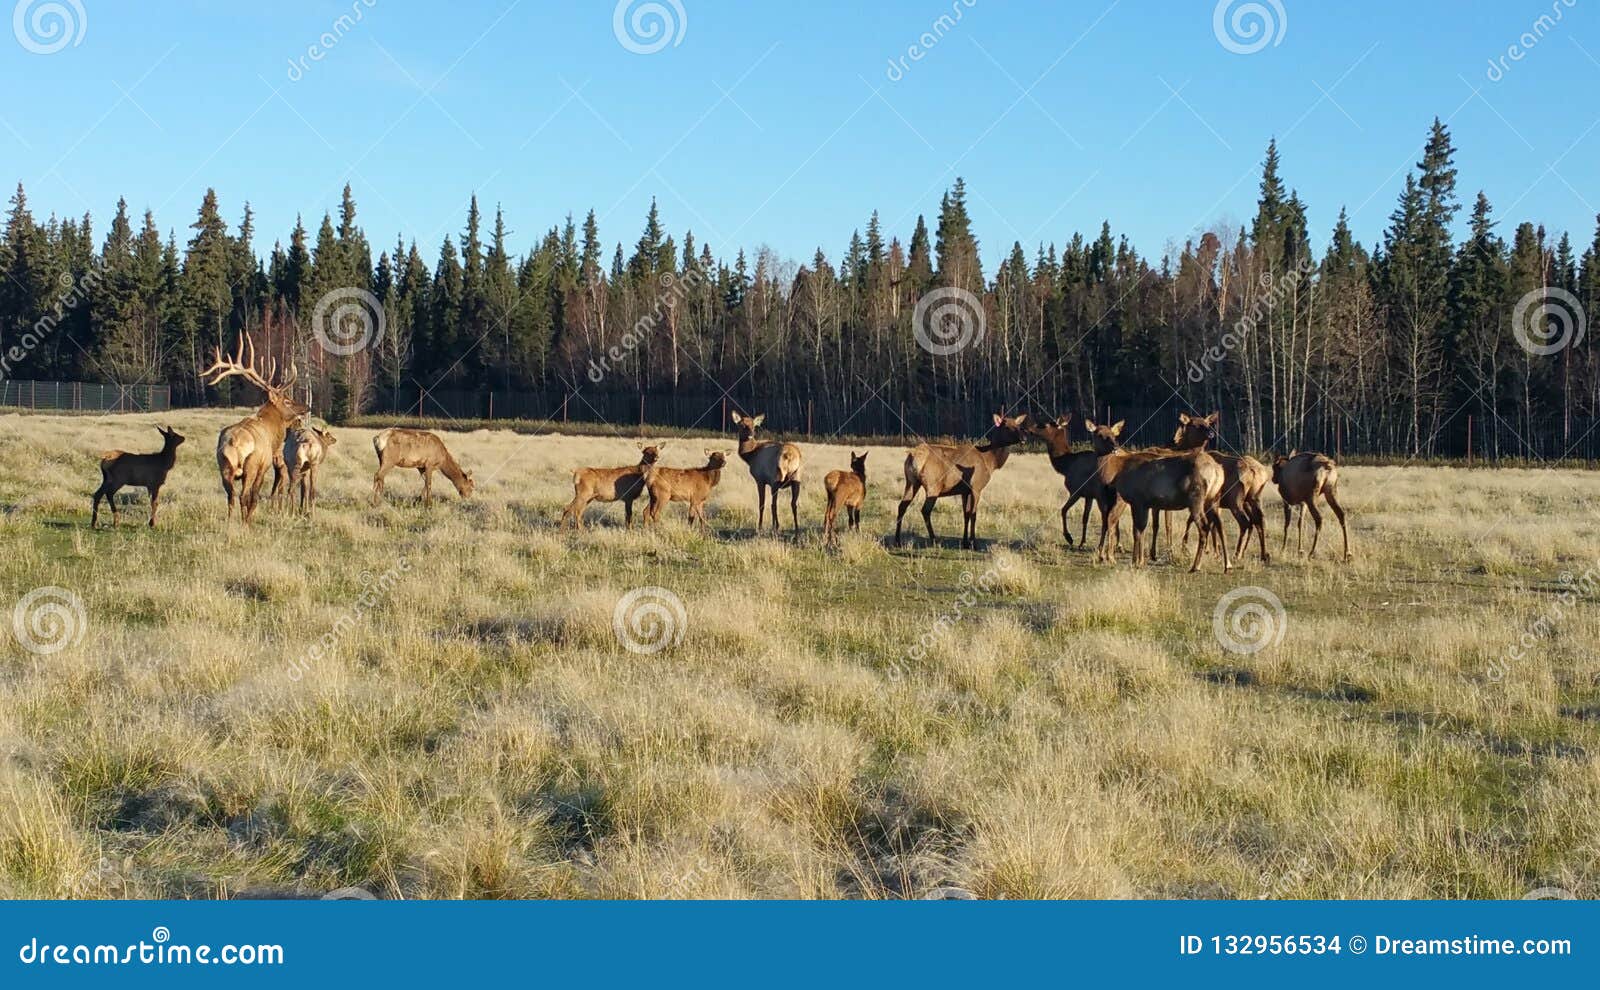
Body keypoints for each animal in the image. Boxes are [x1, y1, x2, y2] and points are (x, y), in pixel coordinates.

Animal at [201, 335, 307, 524]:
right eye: (287, 401)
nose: (306, 407)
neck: (272, 434)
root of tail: (233, 442)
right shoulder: (263, 466)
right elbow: (255, 496)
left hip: (223, 466)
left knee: (231, 496)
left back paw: (230, 522)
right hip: (251, 465)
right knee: (244, 496)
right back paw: (246, 523)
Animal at [895, 411, 1029, 550]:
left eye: (1018, 426)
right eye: (1006, 426)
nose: (1024, 438)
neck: (991, 461)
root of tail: (914, 456)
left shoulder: (964, 491)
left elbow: (966, 514)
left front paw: (965, 543)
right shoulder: (976, 487)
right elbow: (974, 514)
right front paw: (973, 543)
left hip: (911, 482)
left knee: (902, 506)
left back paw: (897, 541)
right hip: (933, 485)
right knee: (925, 510)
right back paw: (934, 540)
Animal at [1170, 411, 1270, 563]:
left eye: (1206, 423)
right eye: (1196, 424)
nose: (1211, 433)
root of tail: (1256, 472)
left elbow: (1194, 521)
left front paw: (1187, 548)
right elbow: (1214, 525)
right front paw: (1215, 551)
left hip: (1235, 499)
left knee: (1246, 522)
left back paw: (1238, 553)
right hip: (1254, 498)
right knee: (1260, 521)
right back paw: (1263, 554)